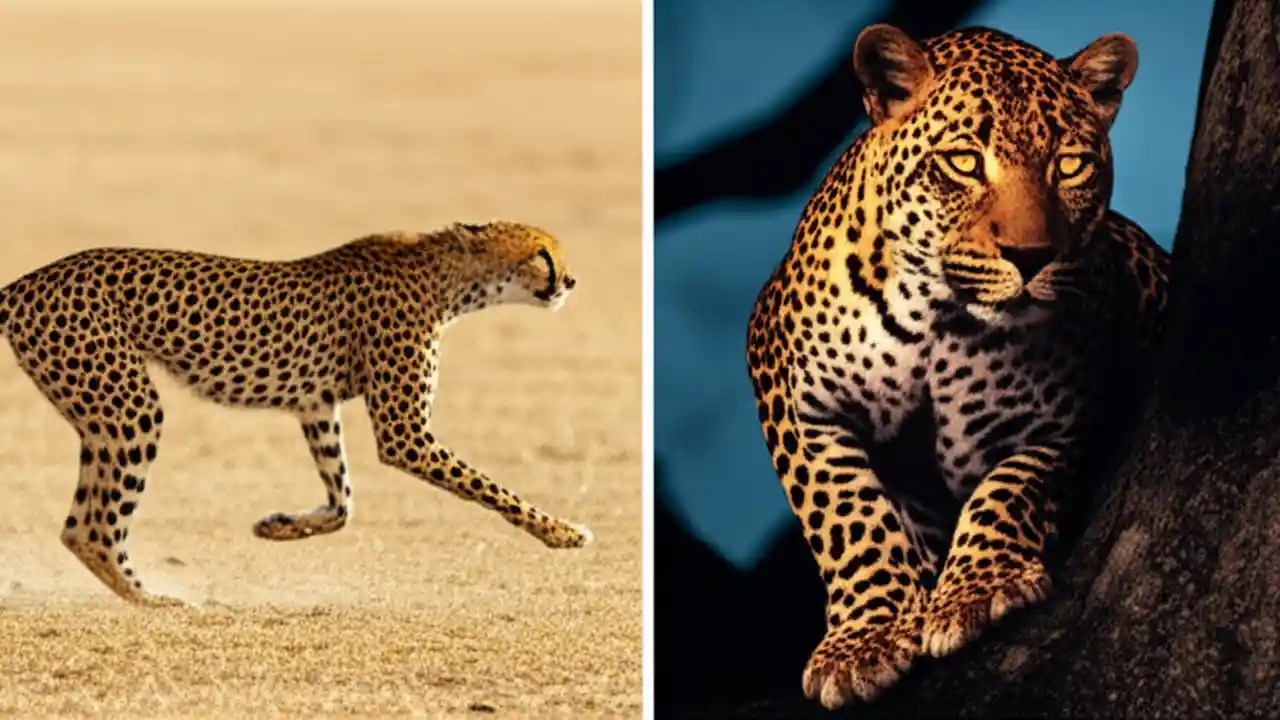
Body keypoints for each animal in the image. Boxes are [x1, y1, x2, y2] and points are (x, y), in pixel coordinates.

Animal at [0, 221, 592, 607]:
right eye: (544, 254)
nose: (570, 282)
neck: (447, 276)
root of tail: (28, 281)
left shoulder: (315, 405)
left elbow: (343, 500)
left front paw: (278, 527)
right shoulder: (406, 434)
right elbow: (494, 490)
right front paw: (563, 533)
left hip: (102, 413)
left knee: (76, 526)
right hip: (130, 410)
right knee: (94, 529)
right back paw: (155, 600)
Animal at [746, 25, 1169, 709]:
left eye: (1069, 165)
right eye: (965, 162)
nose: (1031, 256)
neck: (937, 318)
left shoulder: (1067, 420)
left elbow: (1010, 488)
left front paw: (979, 588)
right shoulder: (793, 393)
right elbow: (846, 513)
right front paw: (864, 639)